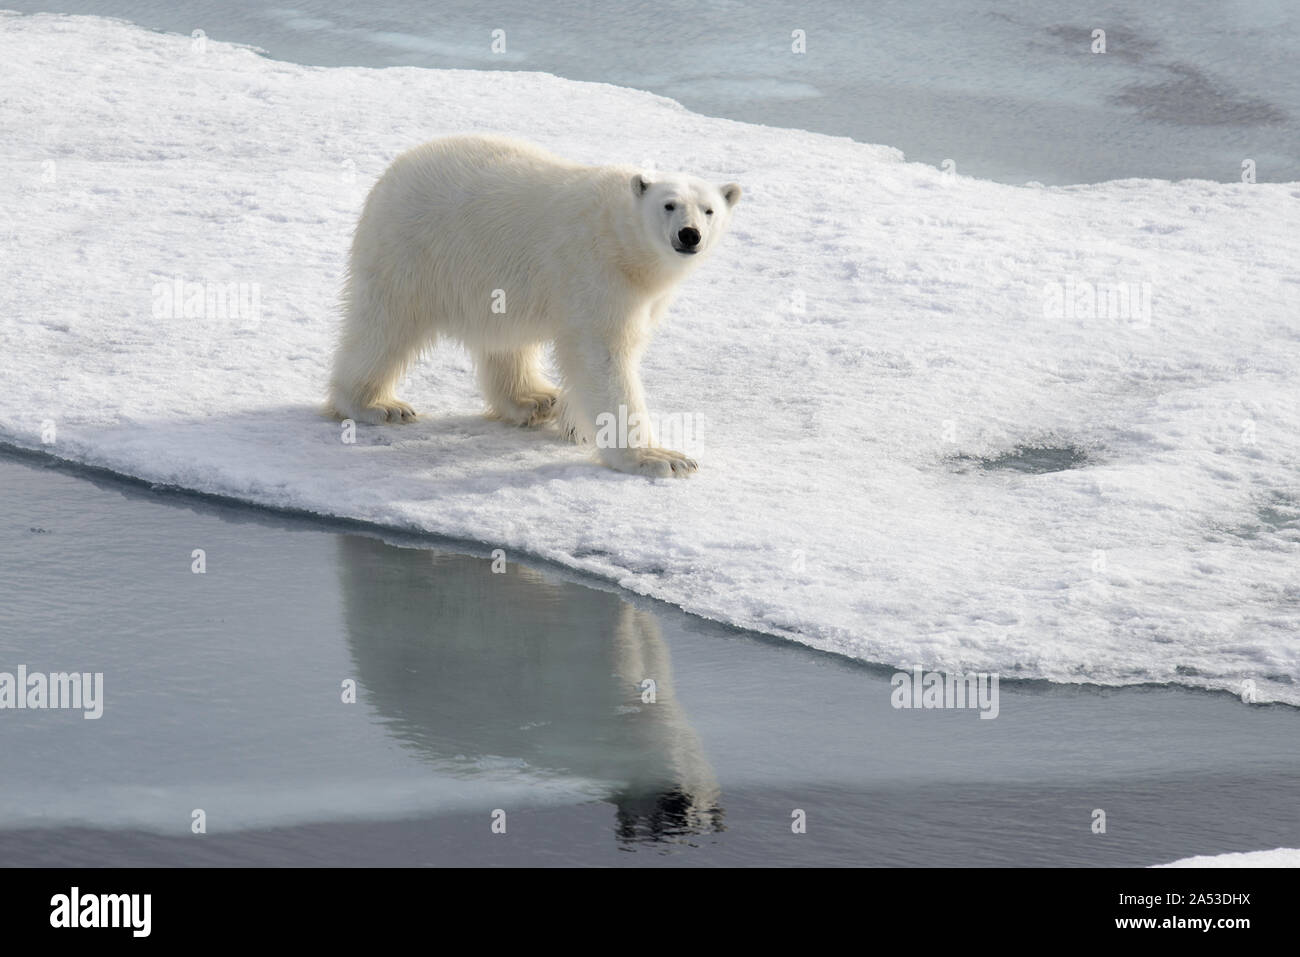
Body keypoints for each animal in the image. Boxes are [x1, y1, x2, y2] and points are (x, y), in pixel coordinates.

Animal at [326, 134, 741, 477]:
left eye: (709, 210)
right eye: (669, 205)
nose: (689, 235)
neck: (626, 245)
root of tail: (395, 170)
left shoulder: (643, 295)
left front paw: (574, 424)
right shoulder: (596, 272)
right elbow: (603, 357)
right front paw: (660, 459)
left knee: (505, 339)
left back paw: (535, 399)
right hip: (412, 248)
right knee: (386, 325)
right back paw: (376, 405)